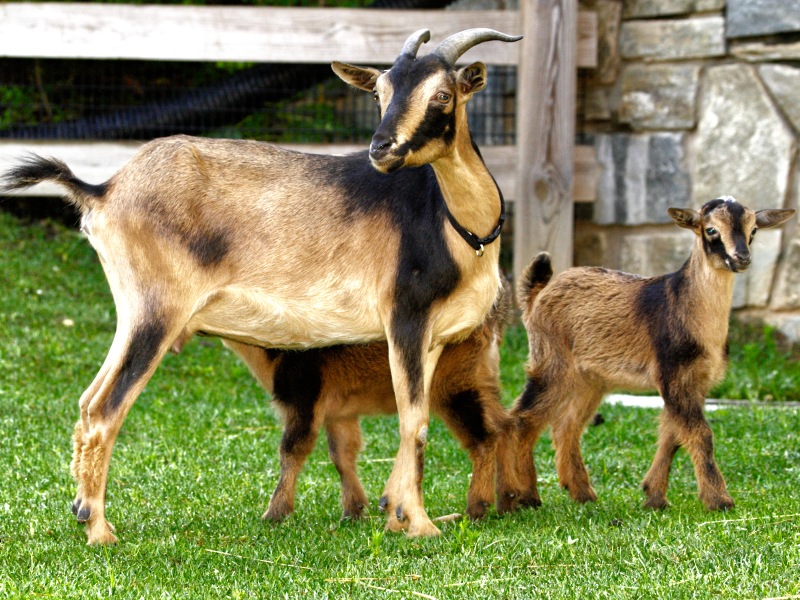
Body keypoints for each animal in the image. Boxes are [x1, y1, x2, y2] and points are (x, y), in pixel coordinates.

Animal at [225, 279, 516, 523]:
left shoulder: (304, 397)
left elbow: (292, 449)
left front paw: (274, 513)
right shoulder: (338, 411)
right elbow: (342, 453)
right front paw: (353, 511)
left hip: (456, 385)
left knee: (484, 436)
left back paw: (476, 507)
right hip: (482, 377)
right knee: (506, 424)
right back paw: (513, 498)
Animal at [506, 197, 794, 513]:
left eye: (753, 229)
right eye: (711, 230)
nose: (741, 258)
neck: (685, 307)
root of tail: (535, 297)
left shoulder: (696, 381)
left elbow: (672, 435)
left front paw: (654, 497)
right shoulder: (672, 375)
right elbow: (700, 434)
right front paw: (719, 500)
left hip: (590, 379)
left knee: (566, 425)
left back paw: (582, 493)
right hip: (550, 361)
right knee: (523, 418)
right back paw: (527, 496)